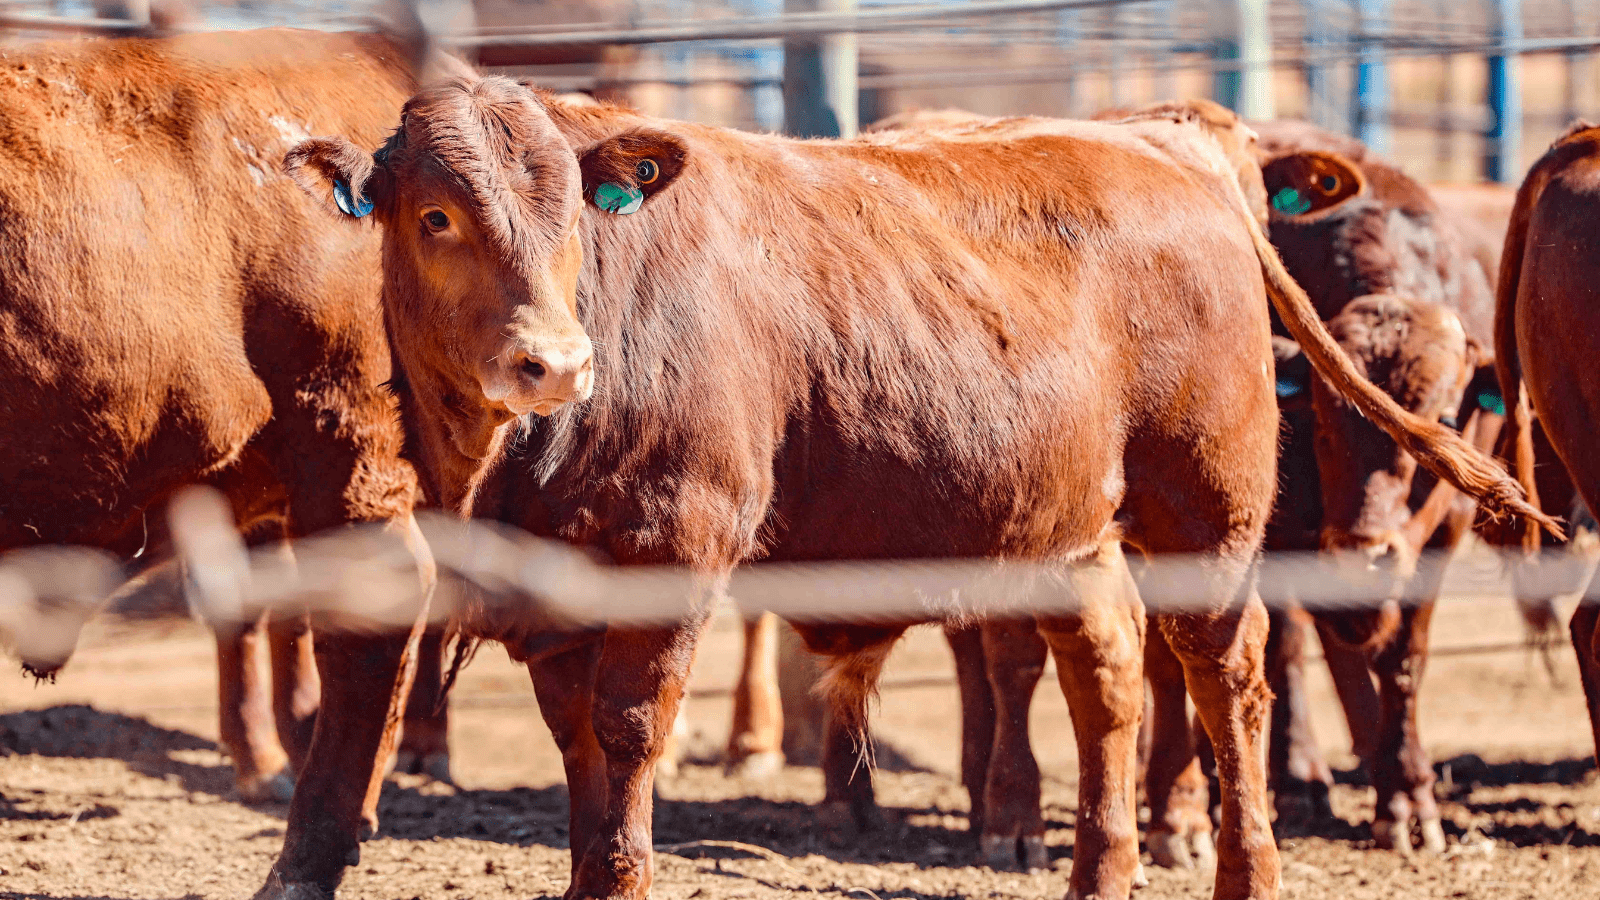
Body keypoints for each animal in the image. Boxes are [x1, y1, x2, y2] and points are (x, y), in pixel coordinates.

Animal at [281, 83, 1543, 900]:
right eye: (435, 215)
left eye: (571, 220)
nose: (553, 362)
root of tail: (1167, 147)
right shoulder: (557, 600)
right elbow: (579, 747)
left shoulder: (675, 548)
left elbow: (631, 732)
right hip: (1069, 526)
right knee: (1106, 674)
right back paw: (1098, 870)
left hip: (1206, 513)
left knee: (1224, 680)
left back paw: (1243, 870)